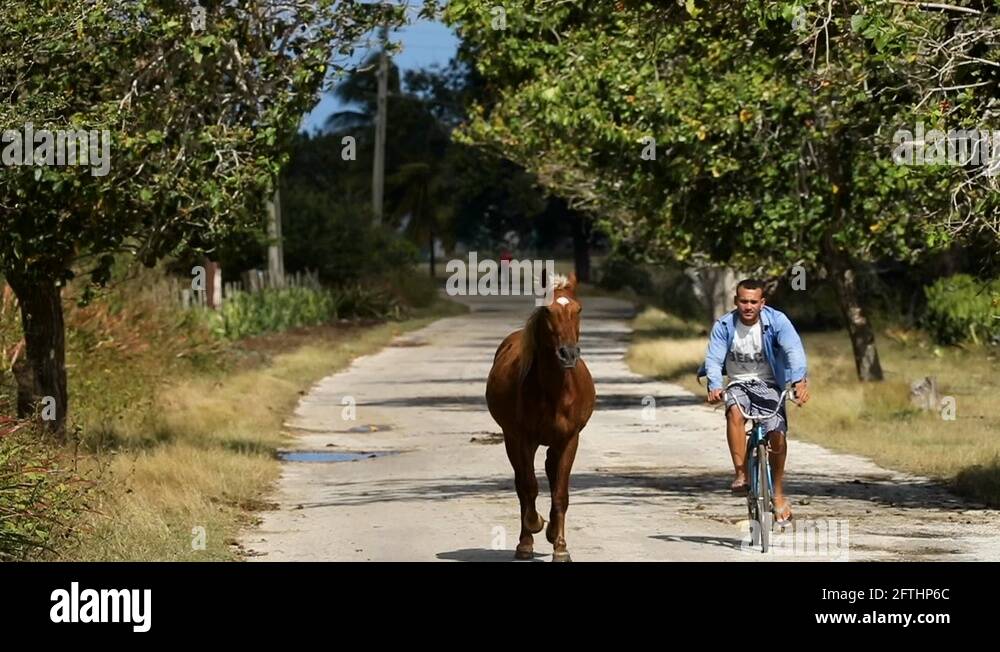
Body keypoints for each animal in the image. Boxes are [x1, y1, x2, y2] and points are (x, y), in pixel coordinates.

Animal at [485, 272, 596, 562]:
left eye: (579, 309)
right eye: (547, 310)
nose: (568, 354)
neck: (555, 391)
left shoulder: (569, 440)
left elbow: (560, 493)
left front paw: (561, 546)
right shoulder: (523, 439)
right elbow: (529, 487)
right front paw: (530, 535)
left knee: (551, 472)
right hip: (512, 440)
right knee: (522, 485)